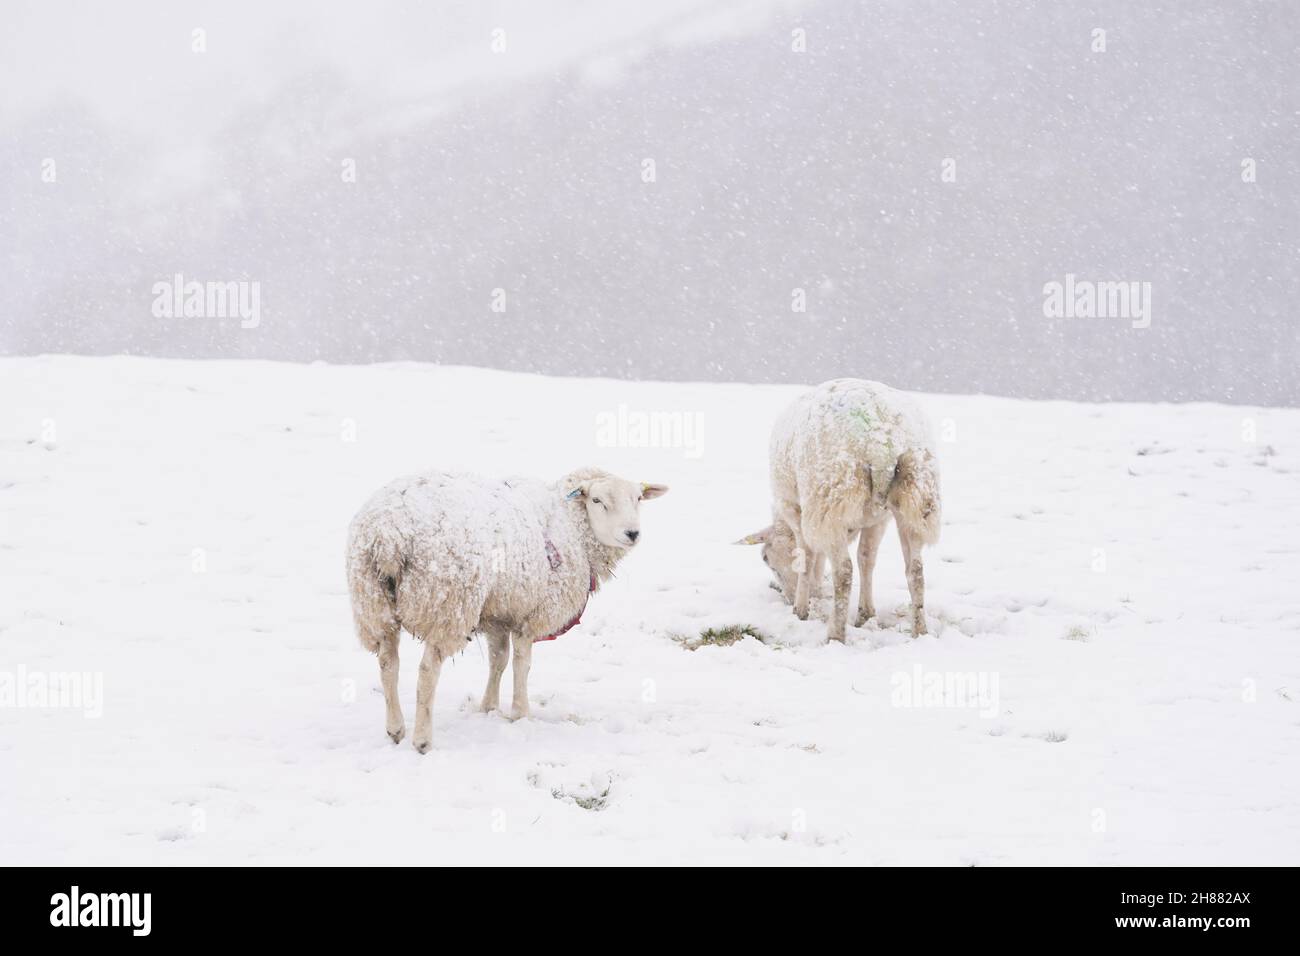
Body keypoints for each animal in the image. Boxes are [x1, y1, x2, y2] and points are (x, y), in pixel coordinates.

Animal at [346, 467, 668, 753]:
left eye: (638, 498)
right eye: (597, 500)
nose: (632, 533)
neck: (571, 526)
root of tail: (389, 532)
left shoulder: (499, 613)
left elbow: (498, 660)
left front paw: (488, 707)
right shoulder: (531, 614)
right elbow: (521, 665)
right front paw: (520, 713)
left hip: (373, 603)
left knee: (388, 664)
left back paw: (395, 729)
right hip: (447, 603)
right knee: (426, 672)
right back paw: (422, 740)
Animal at [738, 378, 940, 641]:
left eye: (766, 559)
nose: (788, 599)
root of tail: (880, 439)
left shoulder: (795, 509)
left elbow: (806, 557)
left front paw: (800, 610)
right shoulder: (877, 519)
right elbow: (866, 559)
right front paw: (865, 614)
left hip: (830, 500)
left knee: (844, 571)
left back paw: (836, 634)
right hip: (915, 496)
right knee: (915, 570)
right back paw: (920, 630)